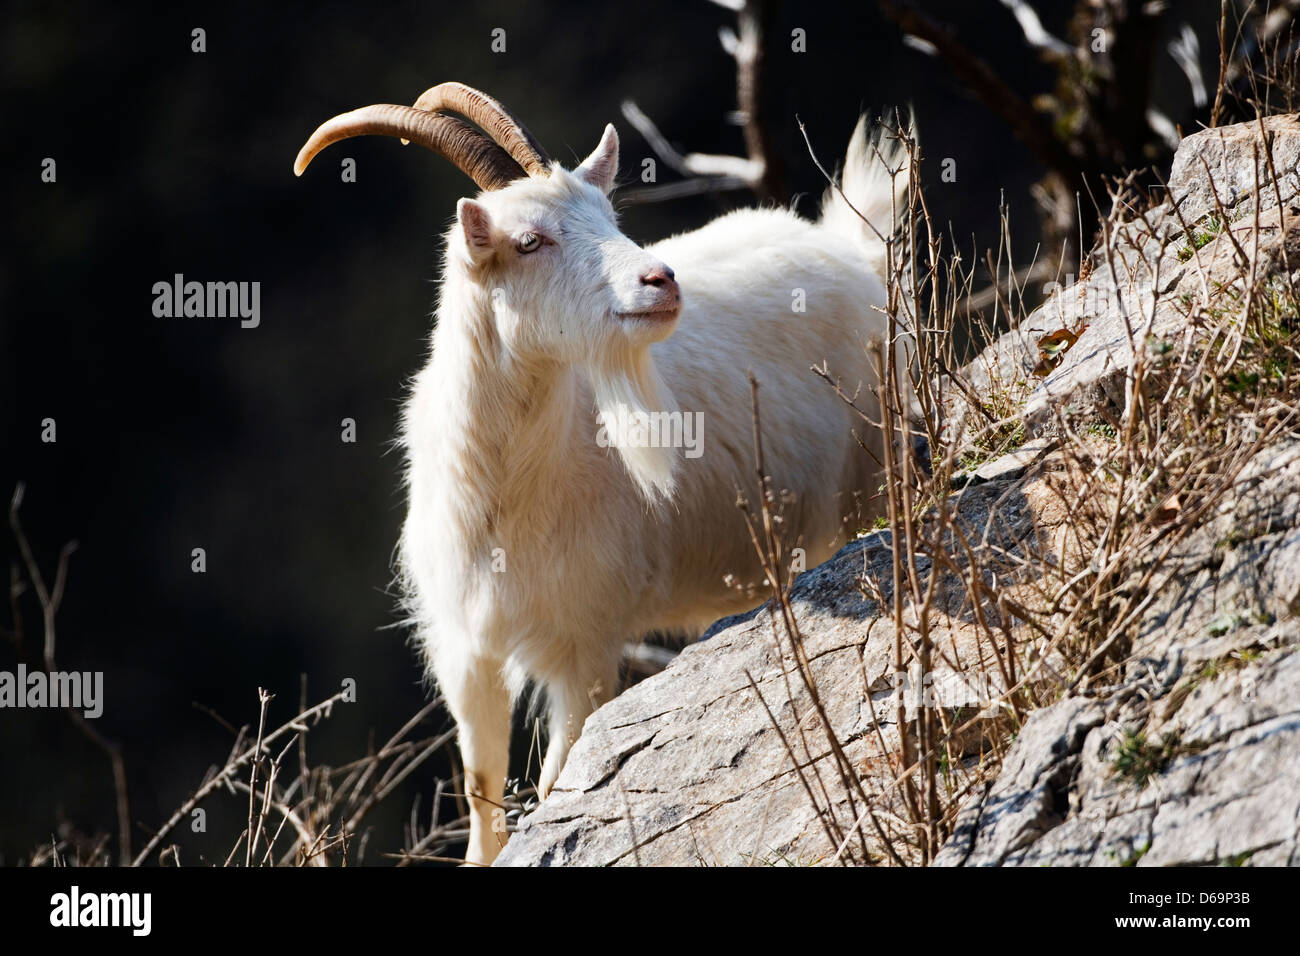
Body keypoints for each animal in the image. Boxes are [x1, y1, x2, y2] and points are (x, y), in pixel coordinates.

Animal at [294, 82, 914, 865]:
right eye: (530, 241)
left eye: (608, 216)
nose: (661, 279)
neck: (508, 491)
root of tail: (850, 248)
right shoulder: (466, 649)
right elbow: (482, 791)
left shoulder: (585, 643)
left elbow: (559, 779)